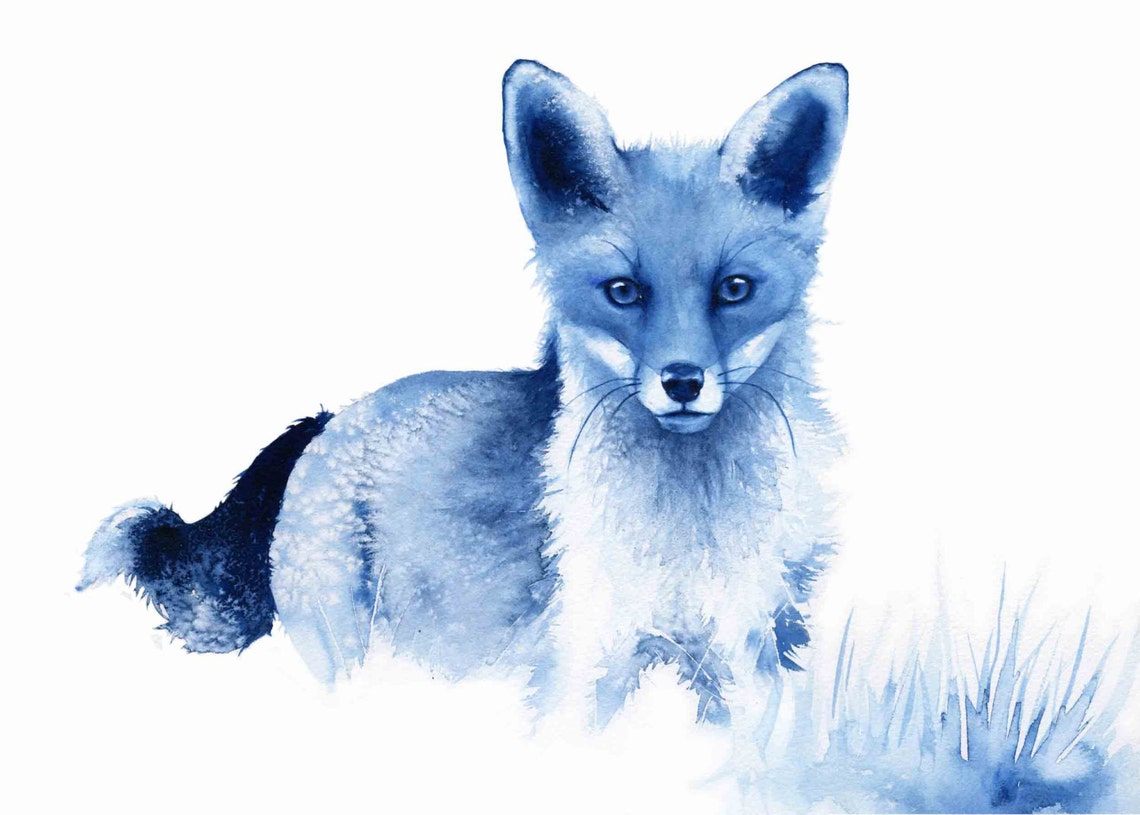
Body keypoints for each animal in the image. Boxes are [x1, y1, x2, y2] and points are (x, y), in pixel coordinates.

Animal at [79, 60, 847, 737]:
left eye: (735, 289)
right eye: (623, 292)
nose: (682, 382)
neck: (685, 533)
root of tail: (330, 418)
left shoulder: (746, 665)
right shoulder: (577, 667)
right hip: (347, 650)